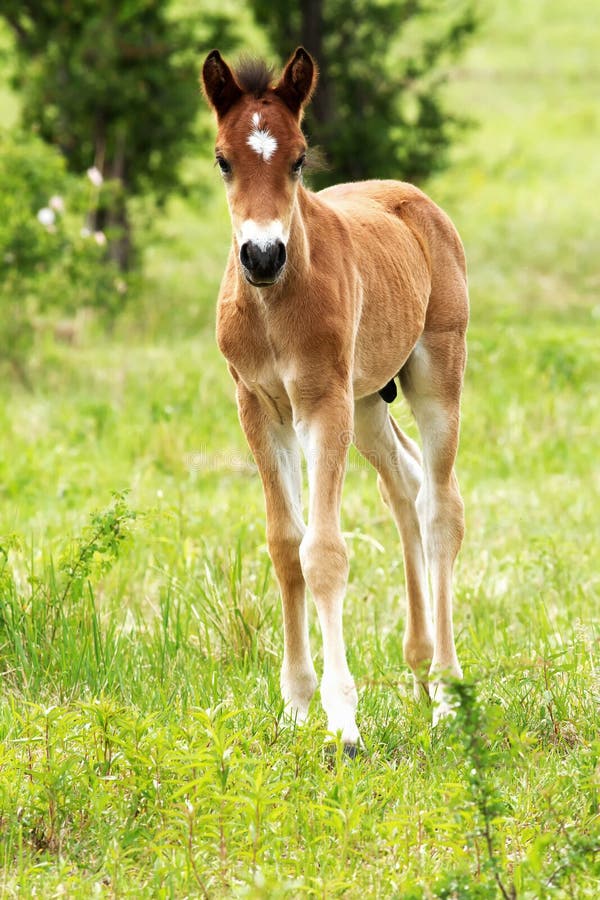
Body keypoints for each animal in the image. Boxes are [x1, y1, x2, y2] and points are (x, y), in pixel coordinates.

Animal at [202, 47, 469, 752]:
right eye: (222, 159)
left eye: (299, 158)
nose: (262, 255)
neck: (275, 304)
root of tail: (416, 200)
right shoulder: (258, 407)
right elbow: (284, 546)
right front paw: (296, 705)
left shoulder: (322, 403)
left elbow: (323, 552)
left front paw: (343, 719)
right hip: (371, 400)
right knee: (405, 488)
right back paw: (419, 670)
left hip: (434, 376)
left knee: (441, 507)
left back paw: (447, 693)